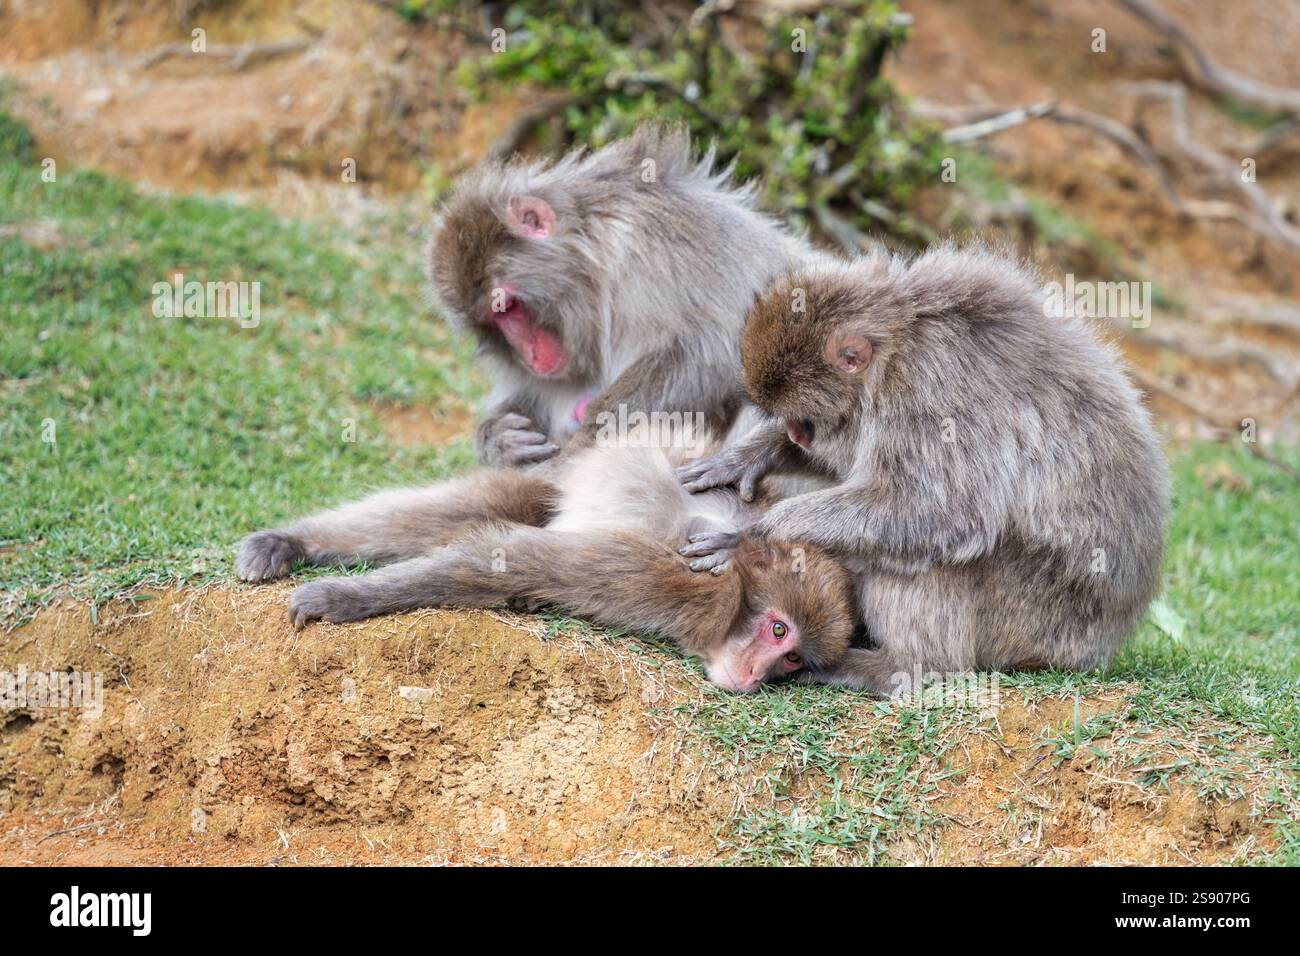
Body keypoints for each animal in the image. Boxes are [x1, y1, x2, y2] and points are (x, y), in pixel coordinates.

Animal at [234, 415, 855, 694]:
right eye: (779, 631)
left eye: (793, 661)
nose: (754, 676)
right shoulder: (681, 582)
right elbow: (513, 558)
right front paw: (341, 597)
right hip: (566, 471)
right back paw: (294, 541)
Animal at [427, 124, 822, 468]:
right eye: (490, 323)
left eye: (506, 306)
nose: (530, 355)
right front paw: (496, 438)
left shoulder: (653, 250)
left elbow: (711, 350)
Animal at [677, 244, 1170, 694]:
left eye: (806, 419)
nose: (798, 437)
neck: (899, 336)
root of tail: (1099, 646)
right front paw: (748, 457)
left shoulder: (930, 389)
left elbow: (942, 511)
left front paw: (751, 538)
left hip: (1033, 619)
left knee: (934, 549)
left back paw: (909, 664)